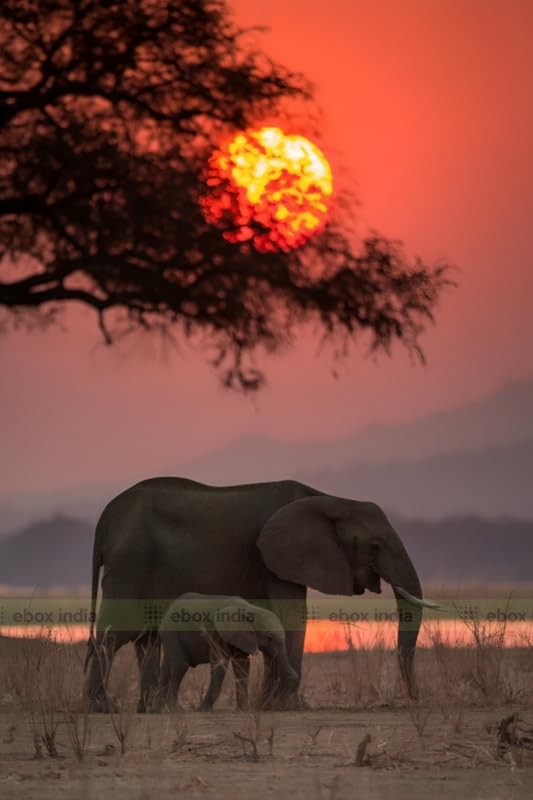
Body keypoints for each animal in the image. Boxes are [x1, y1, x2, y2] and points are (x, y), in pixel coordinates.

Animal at [153, 593, 298, 711]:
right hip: (172, 634)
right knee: (179, 667)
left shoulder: (242, 637)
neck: (249, 609)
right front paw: (202, 710)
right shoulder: (217, 634)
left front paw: (245, 709)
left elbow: (243, 666)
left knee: (166, 668)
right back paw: (176, 710)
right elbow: (219, 664)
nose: (294, 676)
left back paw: (157, 710)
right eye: (269, 637)